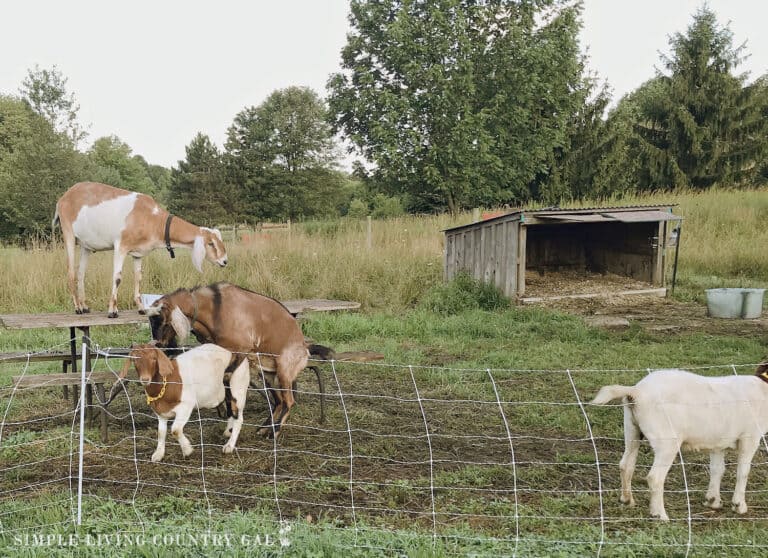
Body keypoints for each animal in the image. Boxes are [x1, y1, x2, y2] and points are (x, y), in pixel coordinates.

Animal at [53, 182, 228, 317]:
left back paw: (84, 306)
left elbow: (138, 277)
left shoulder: (138, 253)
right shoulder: (121, 247)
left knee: (81, 273)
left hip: (85, 246)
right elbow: (117, 278)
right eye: (211, 243)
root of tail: (64, 197)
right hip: (68, 234)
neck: (151, 217)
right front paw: (112, 311)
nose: (224, 261)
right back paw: (77, 308)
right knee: (70, 271)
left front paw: (141, 308)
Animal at [110, 343, 249, 462]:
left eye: (154, 358)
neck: (168, 382)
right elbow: (161, 432)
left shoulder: (186, 406)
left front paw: (187, 450)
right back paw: (228, 432)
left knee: (239, 418)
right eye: (134, 360)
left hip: (238, 388)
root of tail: (234, 352)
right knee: (231, 411)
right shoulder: (161, 412)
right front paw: (158, 454)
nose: (145, 379)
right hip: (227, 392)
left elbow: (175, 430)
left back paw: (229, 446)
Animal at [144, 282, 333, 439]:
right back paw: (264, 428)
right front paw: (228, 423)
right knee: (278, 401)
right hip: (268, 373)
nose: (160, 344)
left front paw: (230, 422)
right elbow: (225, 386)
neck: (213, 309)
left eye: (162, 320)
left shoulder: (241, 351)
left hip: (284, 371)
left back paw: (275, 431)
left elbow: (228, 382)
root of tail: (305, 347)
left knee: (289, 401)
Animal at [590, 368, 768, 521]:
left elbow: (717, 470)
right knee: (655, 477)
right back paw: (660, 515)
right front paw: (739, 505)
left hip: (631, 429)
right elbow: (743, 472)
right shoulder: (750, 437)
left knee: (626, 465)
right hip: (666, 441)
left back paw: (627, 500)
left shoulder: (718, 442)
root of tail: (637, 391)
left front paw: (713, 501)